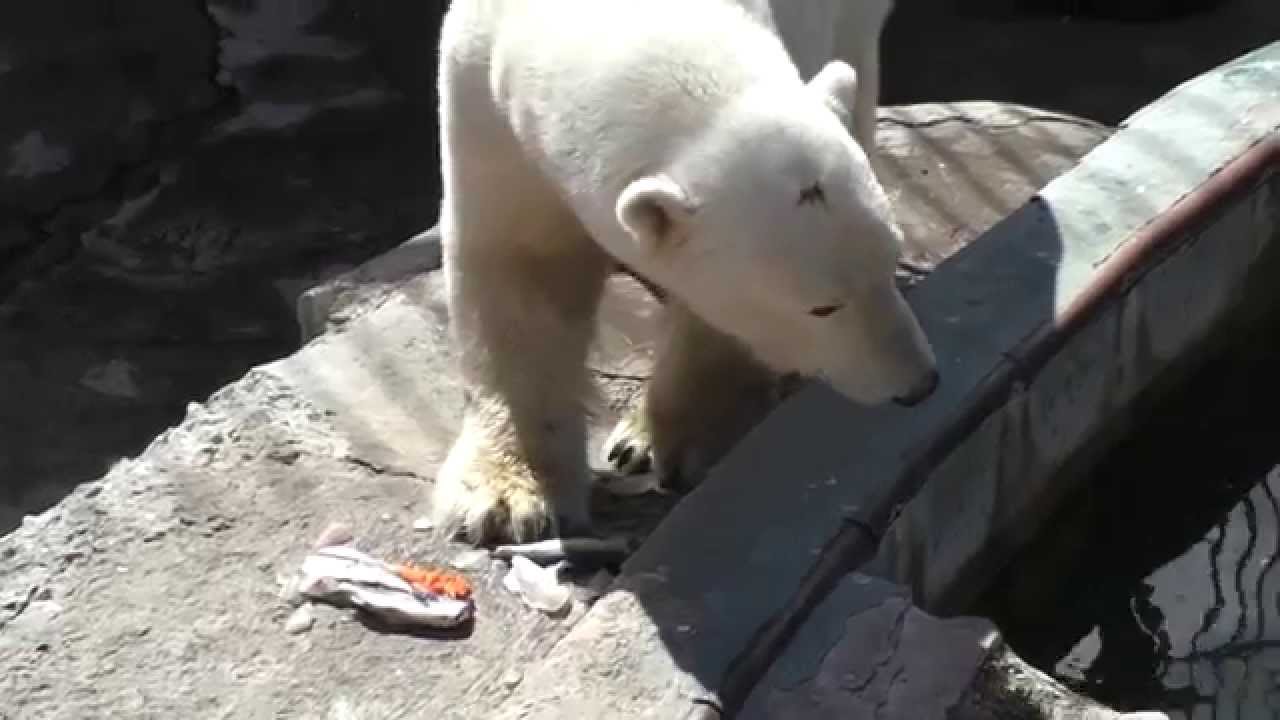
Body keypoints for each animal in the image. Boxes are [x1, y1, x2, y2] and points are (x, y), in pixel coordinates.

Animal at [433, 0, 939, 545]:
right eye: (822, 307)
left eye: (889, 263)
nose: (919, 385)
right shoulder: (482, 91)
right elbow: (520, 268)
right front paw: (505, 501)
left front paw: (691, 441)